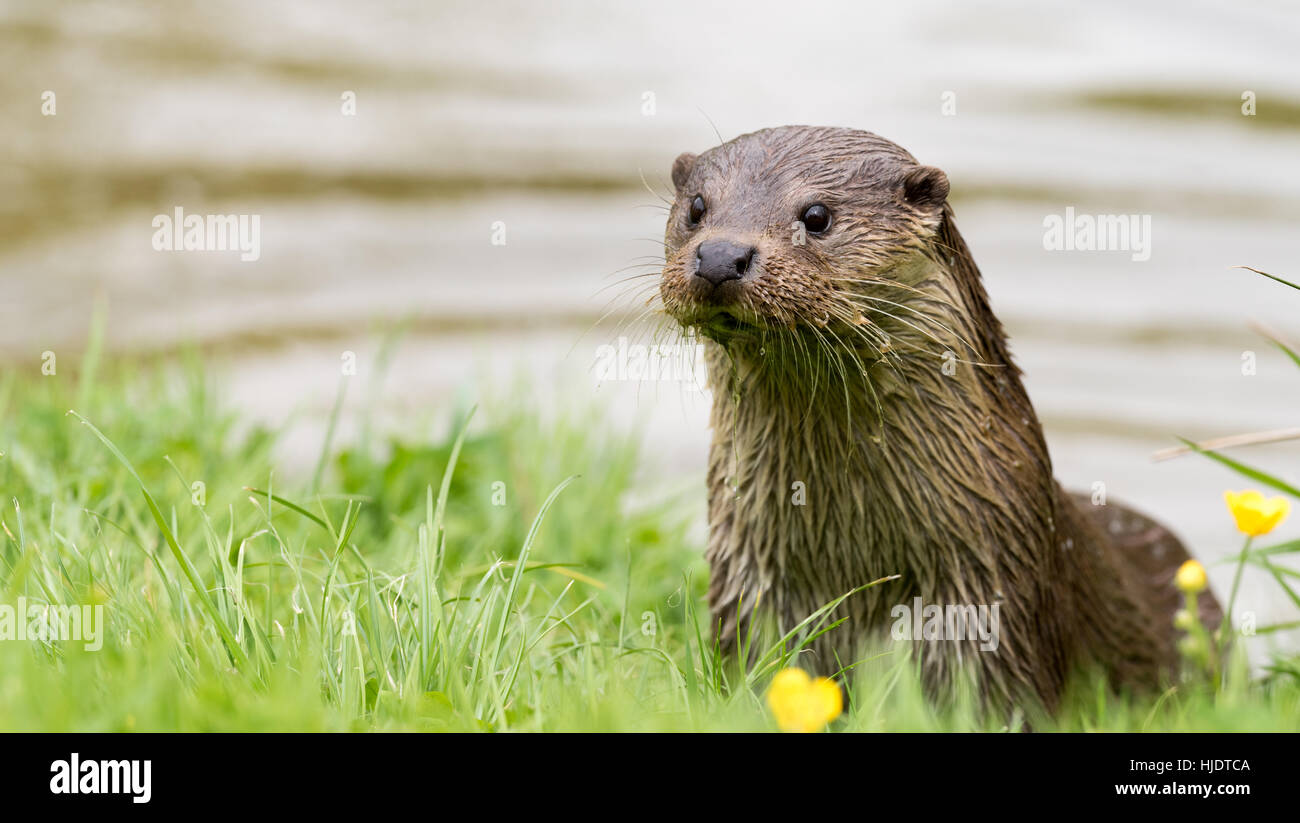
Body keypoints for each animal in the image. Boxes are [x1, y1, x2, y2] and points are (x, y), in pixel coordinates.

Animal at [656, 125, 1221, 711]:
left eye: (816, 215)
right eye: (697, 207)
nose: (721, 256)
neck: (853, 553)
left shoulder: (987, 593)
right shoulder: (749, 575)